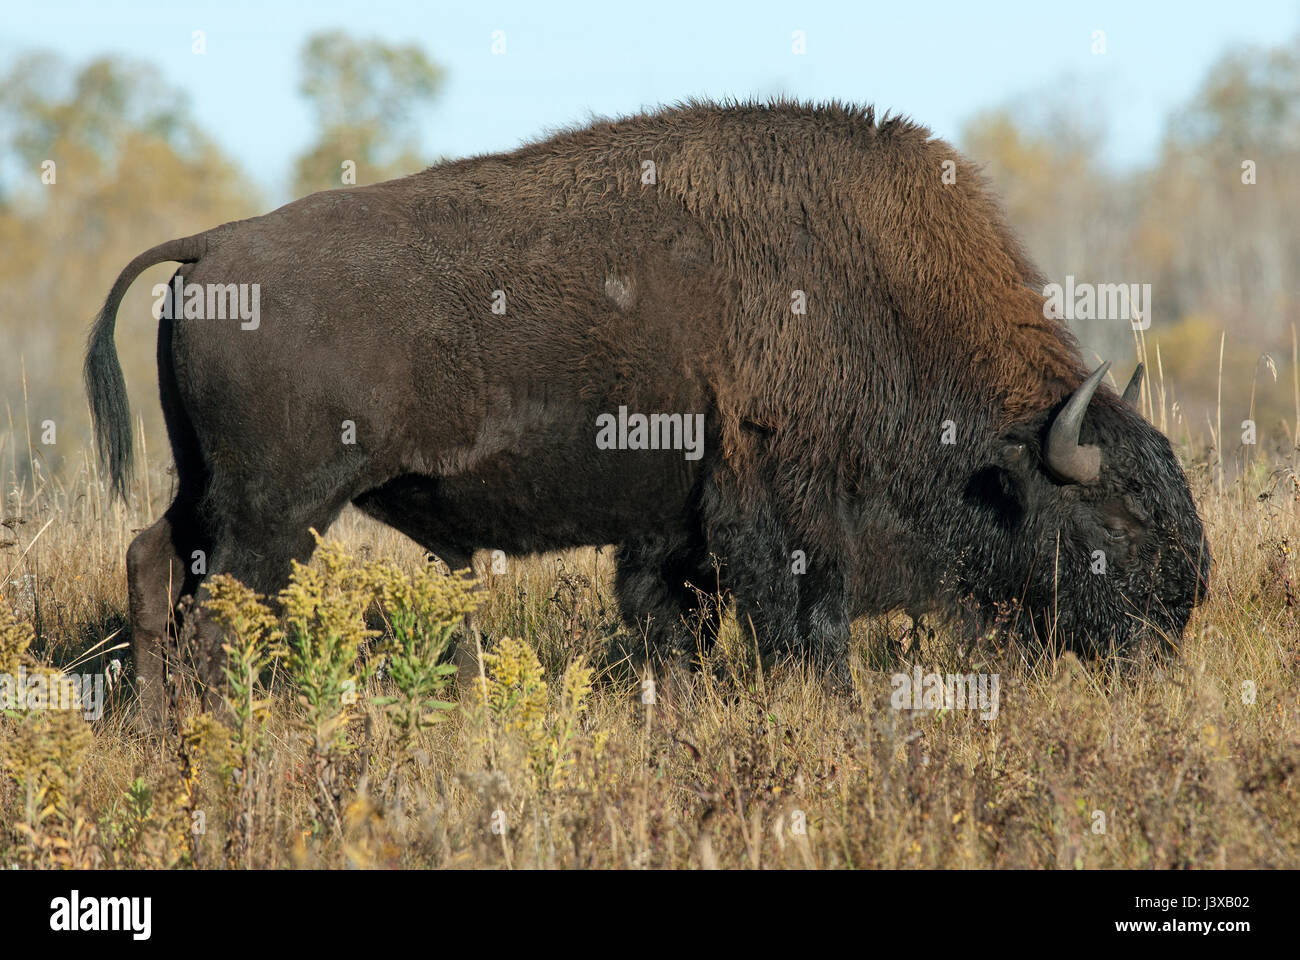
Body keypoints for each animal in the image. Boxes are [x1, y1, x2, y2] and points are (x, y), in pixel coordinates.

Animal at [84, 100, 1210, 716]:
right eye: (1112, 526)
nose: (1173, 625)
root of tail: (216, 244)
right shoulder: (782, 519)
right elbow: (807, 632)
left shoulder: (677, 533)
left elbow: (675, 630)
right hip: (280, 511)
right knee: (218, 613)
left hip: (211, 491)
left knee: (154, 564)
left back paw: (155, 730)